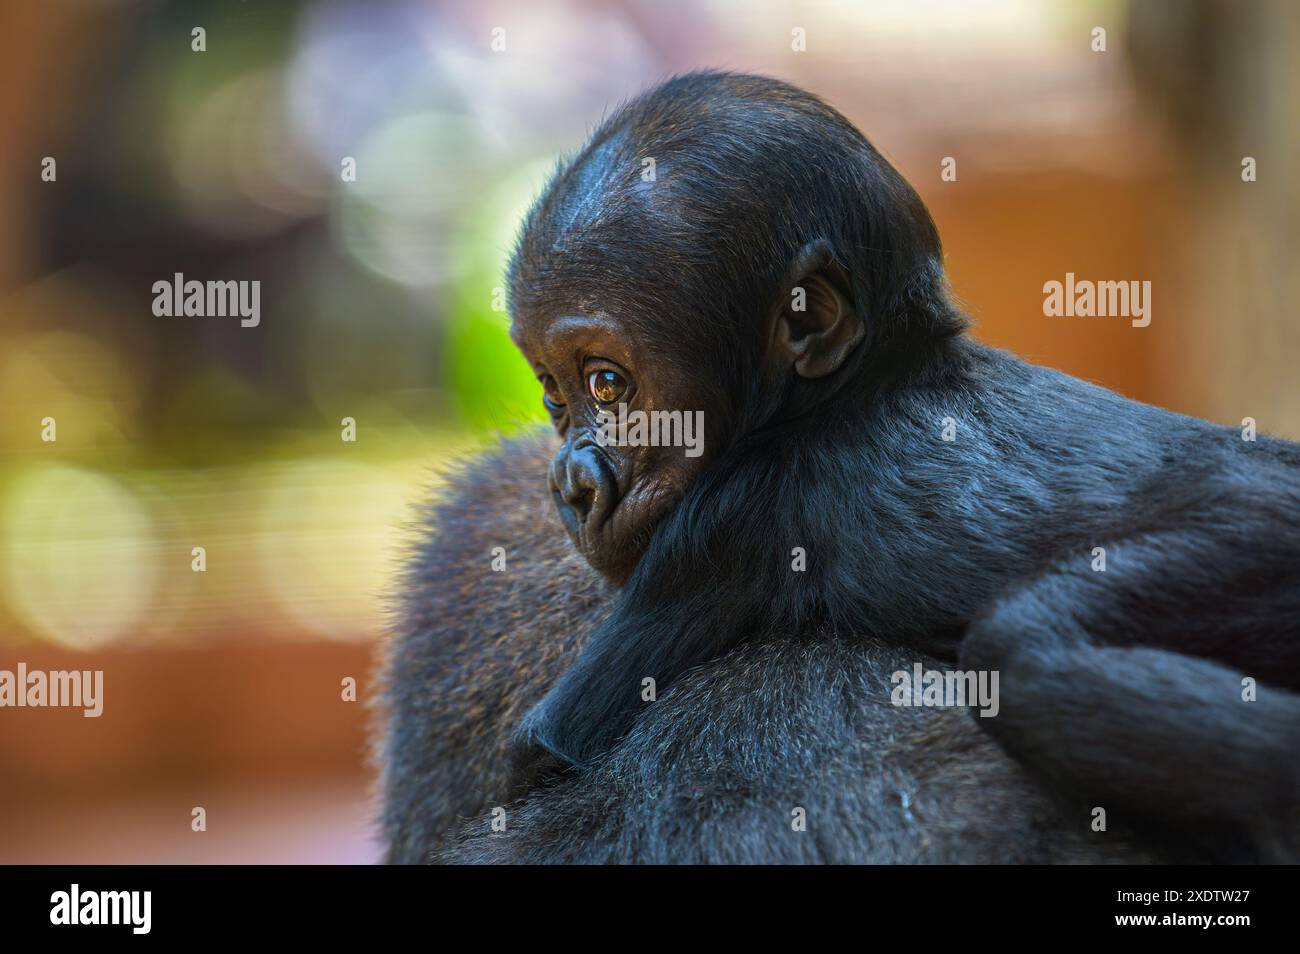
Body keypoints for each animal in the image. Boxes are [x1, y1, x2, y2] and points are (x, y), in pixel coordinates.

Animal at [491, 71, 1300, 860]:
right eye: (553, 396)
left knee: (1026, 653)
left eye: (607, 385)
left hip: (1249, 534)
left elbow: (547, 748)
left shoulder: (717, 527)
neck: (867, 378)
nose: (569, 487)